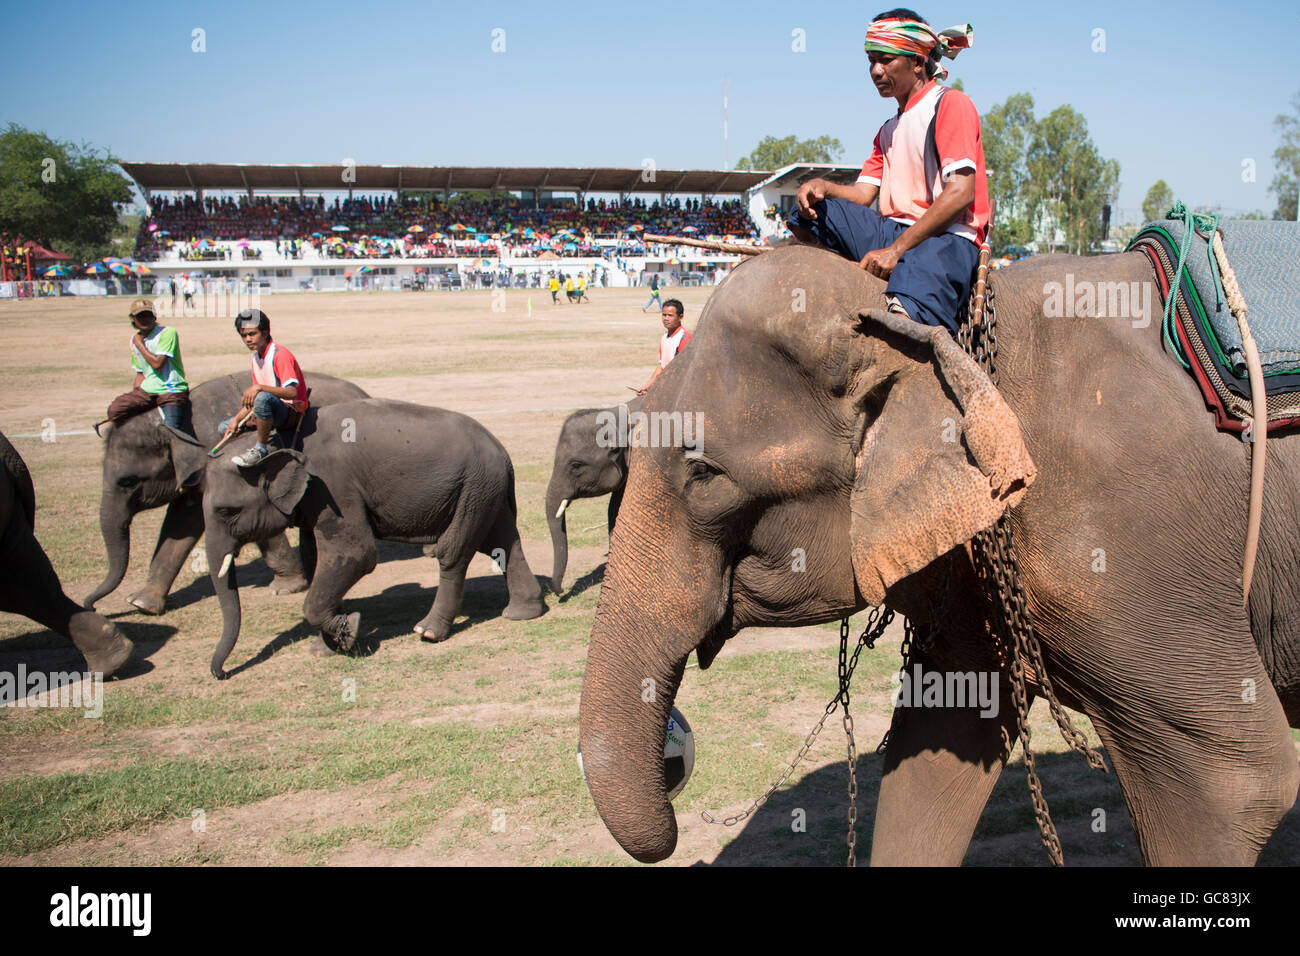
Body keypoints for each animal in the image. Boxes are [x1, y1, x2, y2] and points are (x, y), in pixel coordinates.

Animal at [83, 371, 369, 615]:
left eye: (128, 481)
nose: (91, 606)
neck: (173, 421)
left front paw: (285, 588)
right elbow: (180, 525)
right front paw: (142, 604)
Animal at [176, 398, 548, 678]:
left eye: (226, 511)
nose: (222, 673)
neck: (282, 440)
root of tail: (503, 453)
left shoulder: (333, 486)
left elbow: (356, 553)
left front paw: (349, 631)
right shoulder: (315, 498)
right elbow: (318, 557)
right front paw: (327, 645)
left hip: (474, 488)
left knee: (454, 551)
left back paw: (428, 632)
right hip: (482, 490)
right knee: (501, 543)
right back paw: (522, 613)